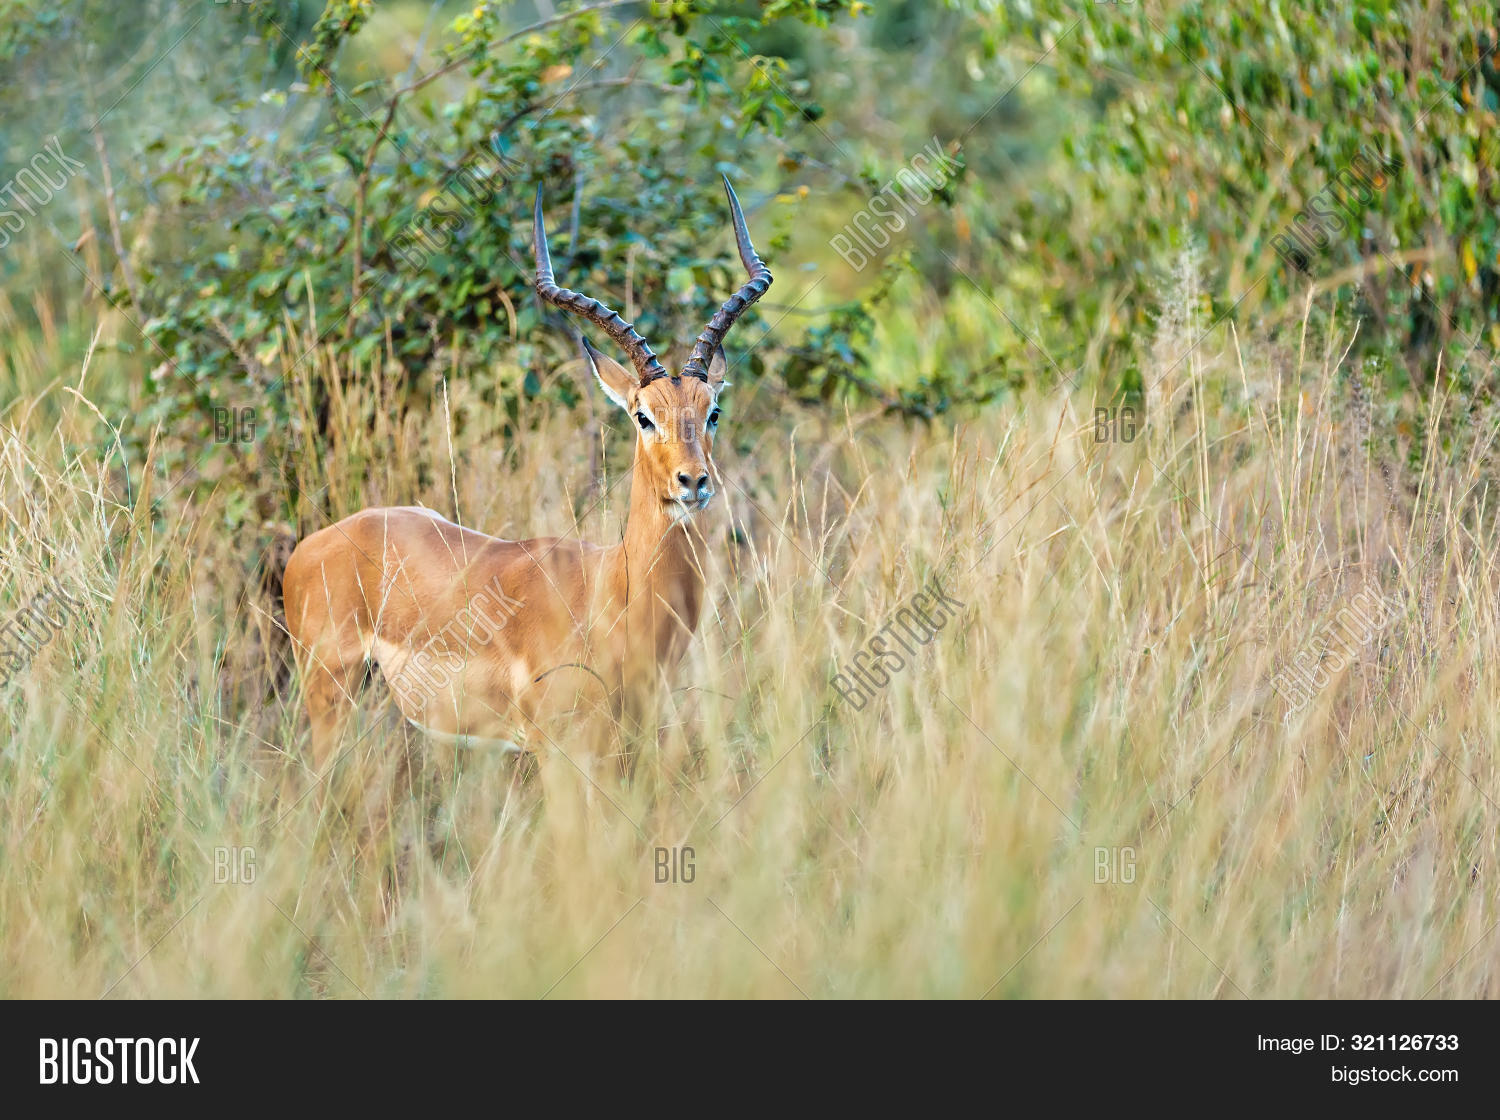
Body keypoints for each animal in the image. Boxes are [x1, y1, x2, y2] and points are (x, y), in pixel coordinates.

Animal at [282, 175, 772, 775]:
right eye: (643, 415)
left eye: (712, 412)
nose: (693, 482)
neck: (611, 590)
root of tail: (312, 546)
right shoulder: (559, 749)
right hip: (330, 697)